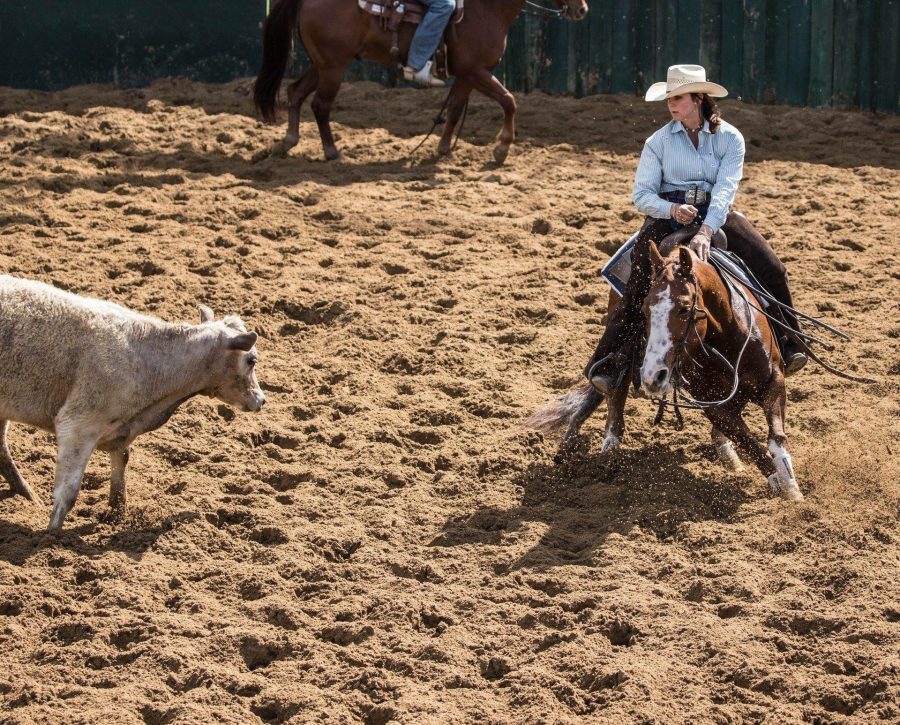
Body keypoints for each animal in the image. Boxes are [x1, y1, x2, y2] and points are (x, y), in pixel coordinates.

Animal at [253, 0, 589, 164]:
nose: (582, 9)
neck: (487, 9)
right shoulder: (477, 70)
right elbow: (509, 100)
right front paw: (502, 148)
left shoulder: (467, 74)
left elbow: (454, 110)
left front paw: (444, 149)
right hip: (334, 66)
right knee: (321, 105)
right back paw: (332, 152)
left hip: (321, 64)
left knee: (295, 92)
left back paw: (287, 142)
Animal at [528, 238, 804, 502]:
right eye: (643, 310)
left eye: (684, 307)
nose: (652, 376)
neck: (725, 336)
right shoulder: (711, 406)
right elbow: (752, 445)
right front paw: (782, 487)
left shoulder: (773, 381)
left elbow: (775, 438)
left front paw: (791, 488)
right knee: (615, 398)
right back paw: (608, 454)